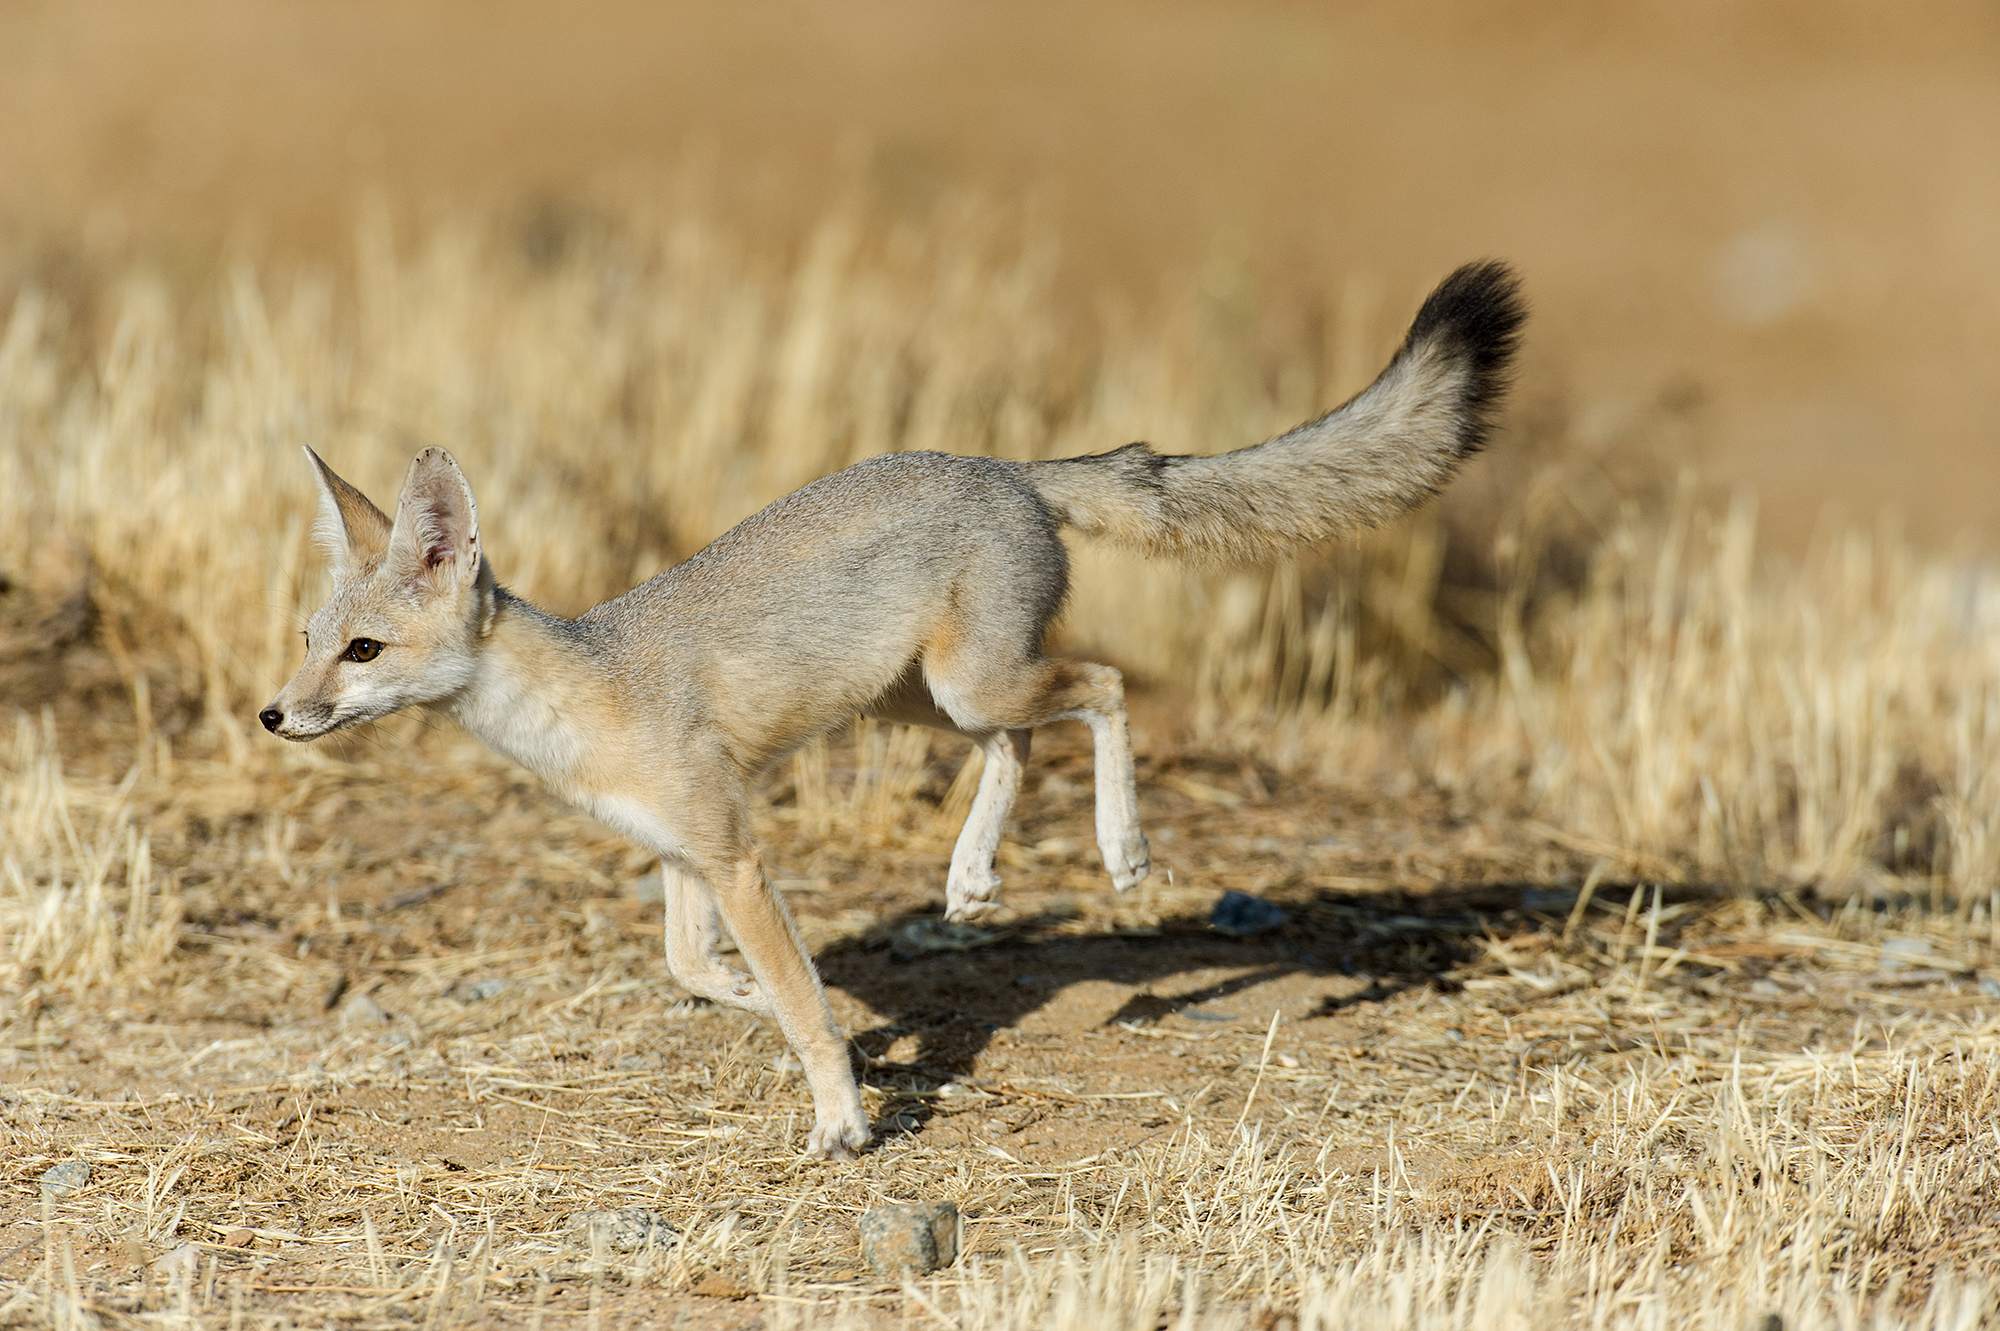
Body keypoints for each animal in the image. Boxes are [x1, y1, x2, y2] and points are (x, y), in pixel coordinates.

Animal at [262, 260, 1524, 1157]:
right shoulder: (682, 852)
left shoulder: (733, 853)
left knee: (1102, 687)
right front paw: (749, 997)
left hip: (967, 681)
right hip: (921, 701)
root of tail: (1004, 465)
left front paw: (843, 1115)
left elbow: (799, 1001)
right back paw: (969, 876)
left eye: (363, 652)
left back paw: (1120, 847)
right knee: (1019, 741)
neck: (582, 688)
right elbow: (692, 966)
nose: (276, 717)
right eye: (310, 643)